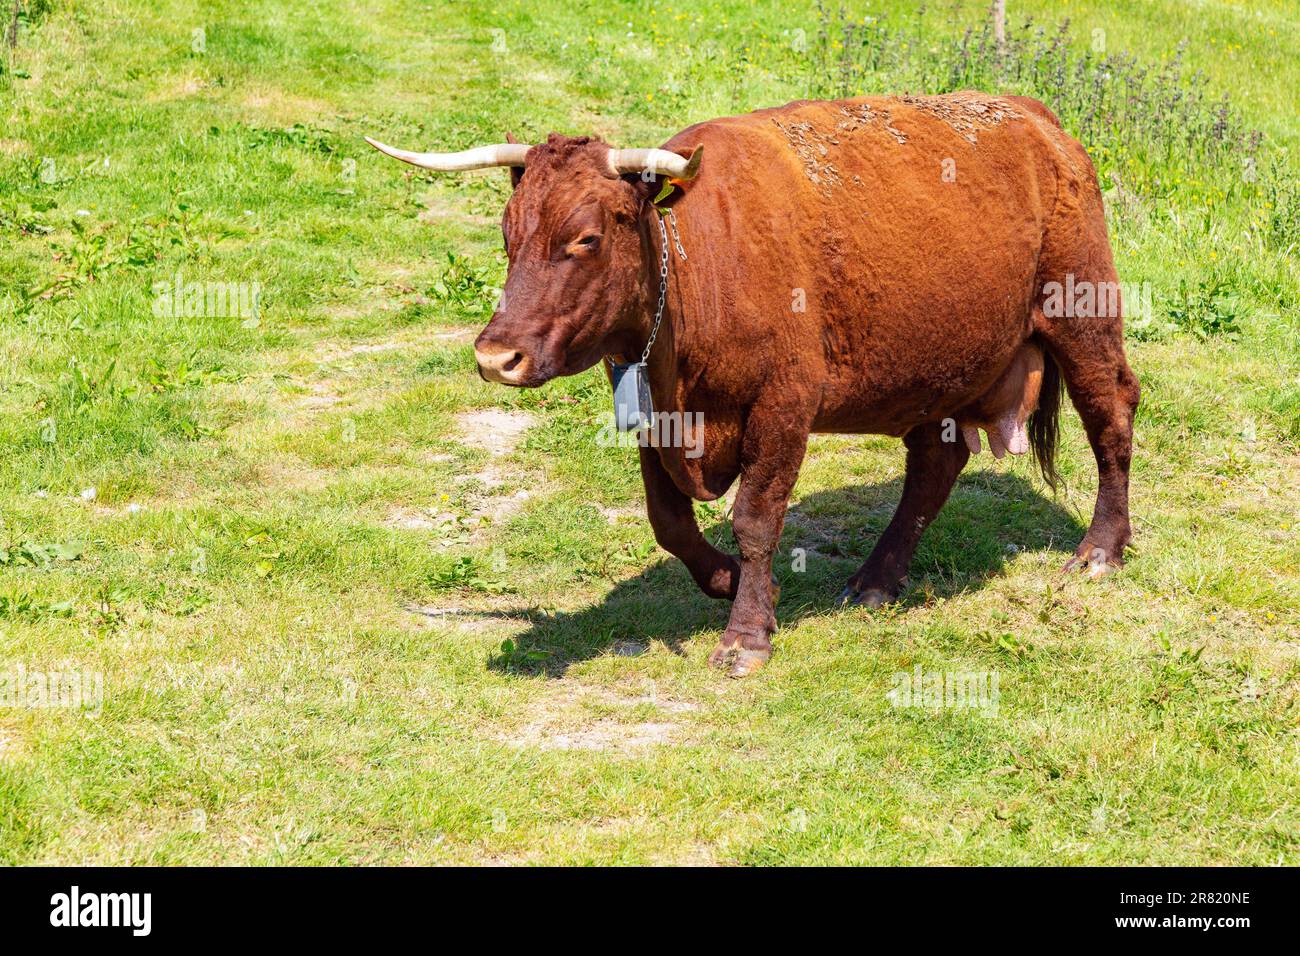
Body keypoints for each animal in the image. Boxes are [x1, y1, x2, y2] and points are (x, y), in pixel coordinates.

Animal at [368, 91, 1140, 677]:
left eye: (585, 238)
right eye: (508, 234)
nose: (496, 356)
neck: (697, 263)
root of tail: (1031, 116)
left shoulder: (783, 404)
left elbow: (756, 518)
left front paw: (746, 634)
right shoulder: (653, 413)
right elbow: (670, 522)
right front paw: (735, 582)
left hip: (1082, 314)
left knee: (1112, 414)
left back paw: (1100, 551)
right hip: (933, 366)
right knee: (935, 465)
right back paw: (876, 579)